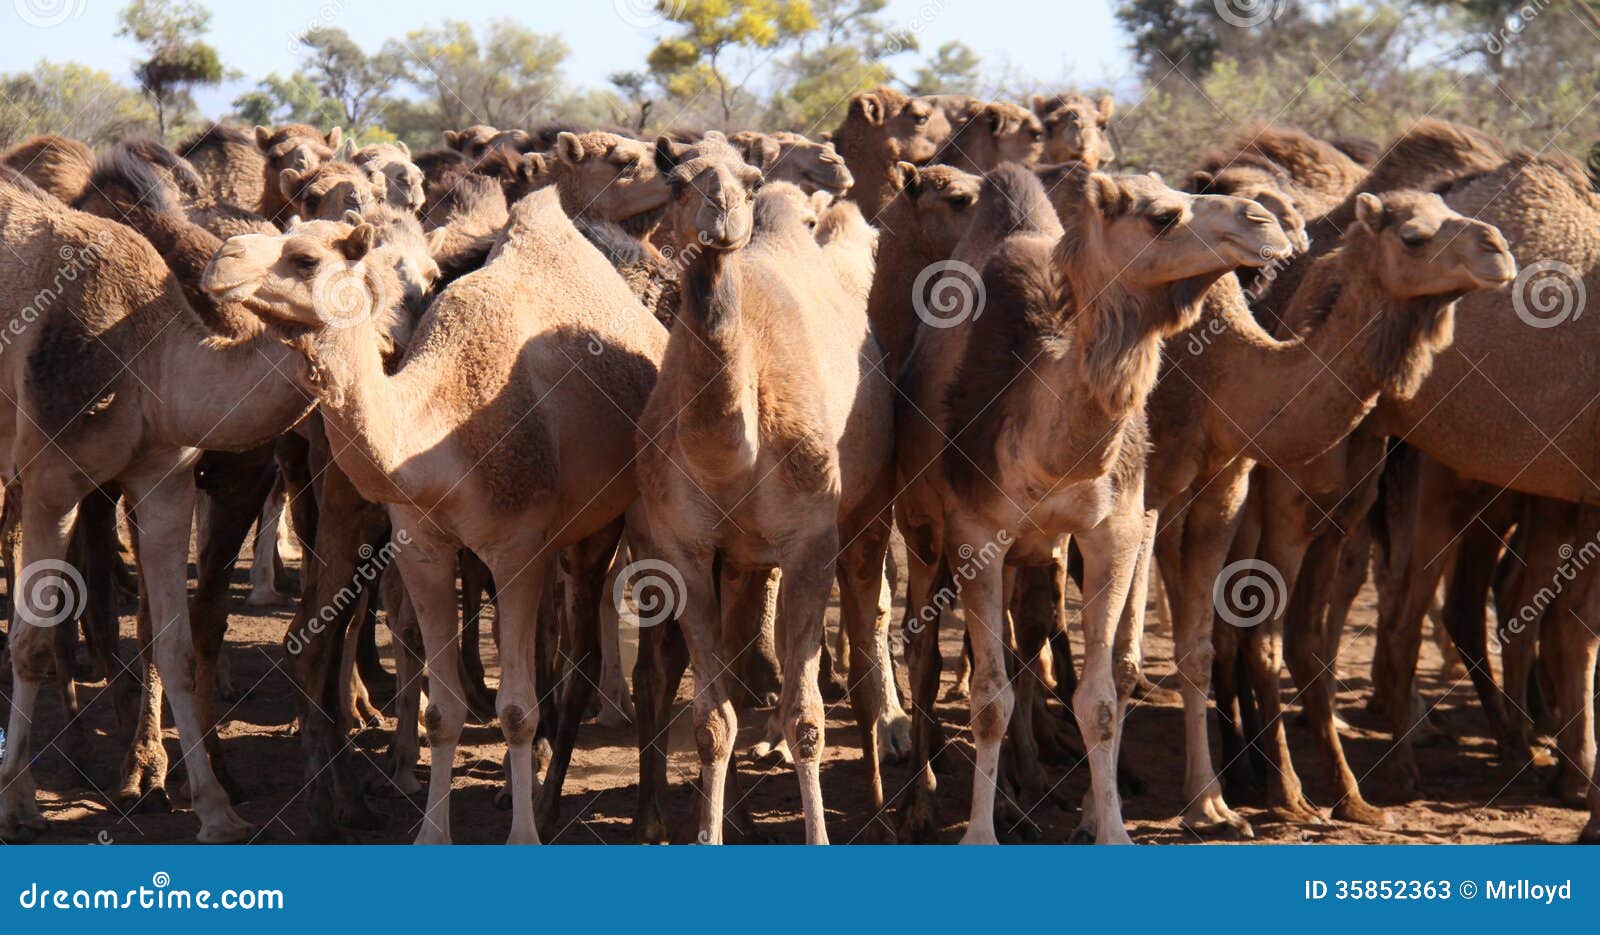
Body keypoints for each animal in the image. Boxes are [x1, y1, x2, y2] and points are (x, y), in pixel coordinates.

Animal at [0, 166, 317, 843]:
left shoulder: (165, 479)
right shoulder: (51, 480)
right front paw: (18, 804)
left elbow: (175, 644)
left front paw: (216, 808)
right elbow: (32, 641)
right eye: (309, 256)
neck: (148, 354)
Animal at [203, 188, 666, 844]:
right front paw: (430, 833)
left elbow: (517, 710)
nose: (222, 260)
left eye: (306, 258)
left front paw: (522, 836)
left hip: (599, 526)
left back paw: (548, 800)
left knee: (578, 658)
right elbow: (445, 708)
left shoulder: (517, 550)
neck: (437, 428)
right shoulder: (420, 543)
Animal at [629, 134, 896, 845]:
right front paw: (708, 834)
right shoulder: (687, 549)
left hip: (867, 518)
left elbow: (808, 718)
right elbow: (712, 720)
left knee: (862, 655)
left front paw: (819, 836)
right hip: (738, 559)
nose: (720, 209)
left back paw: (884, 810)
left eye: (749, 180)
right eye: (677, 182)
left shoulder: (810, 541)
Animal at [893, 162, 1293, 844]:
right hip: (920, 526)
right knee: (923, 652)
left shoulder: (1116, 528)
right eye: (1162, 215)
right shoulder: (975, 533)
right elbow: (988, 700)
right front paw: (978, 835)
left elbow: (1100, 700)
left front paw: (1111, 829)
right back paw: (923, 803)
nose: (1265, 222)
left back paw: (1018, 798)